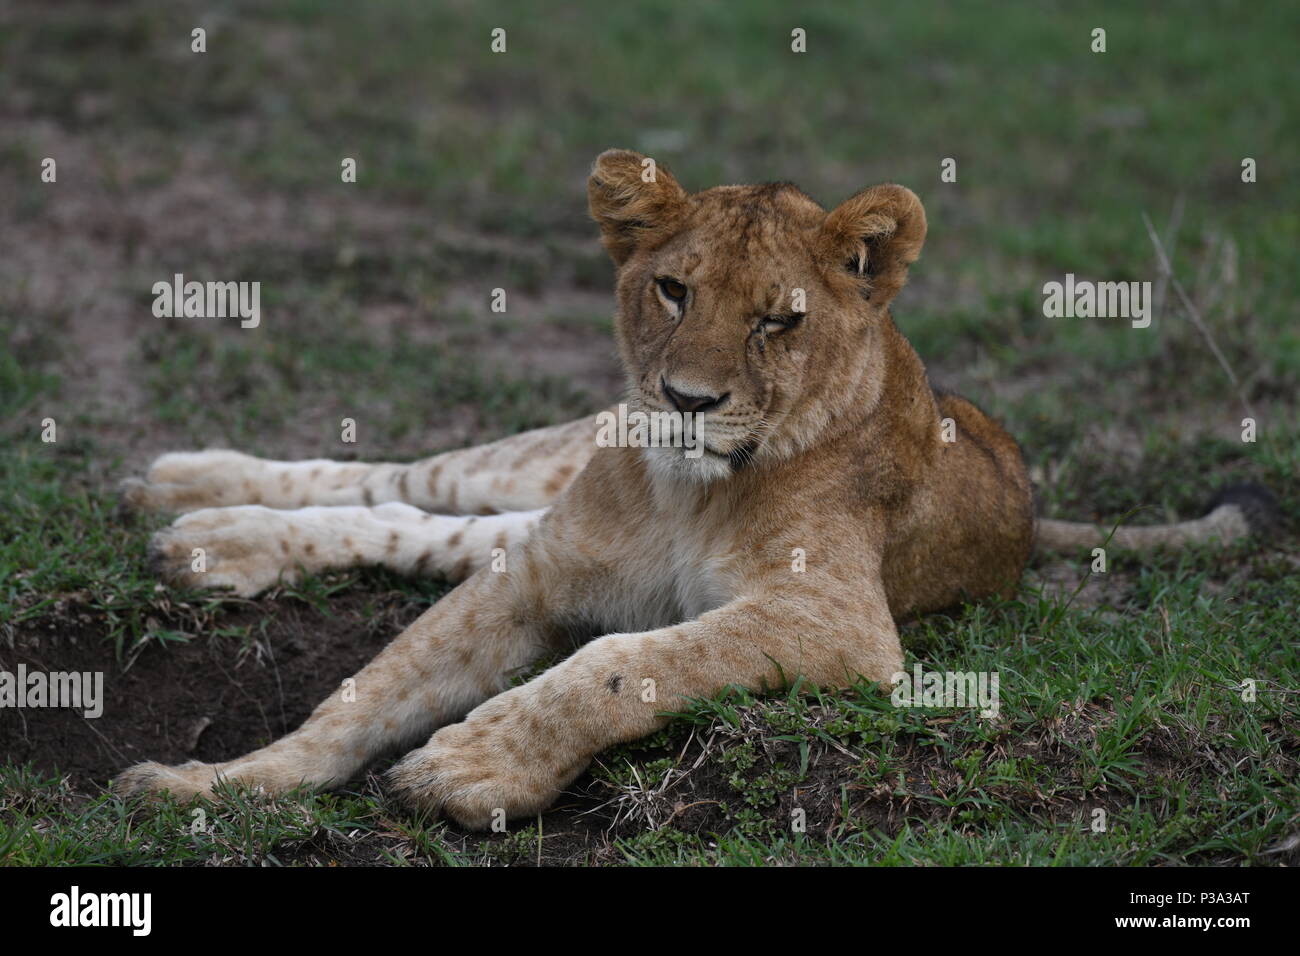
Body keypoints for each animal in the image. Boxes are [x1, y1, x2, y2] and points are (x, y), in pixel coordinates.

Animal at [113, 149, 1276, 827]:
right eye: (672, 289)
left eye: (778, 318)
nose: (684, 400)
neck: (687, 491)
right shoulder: (537, 574)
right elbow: (365, 691)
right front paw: (221, 783)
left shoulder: (838, 624)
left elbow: (624, 660)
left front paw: (473, 766)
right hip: (534, 468)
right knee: (403, 481)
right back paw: (192, 489)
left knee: (427, 525)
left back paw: (205, 536)